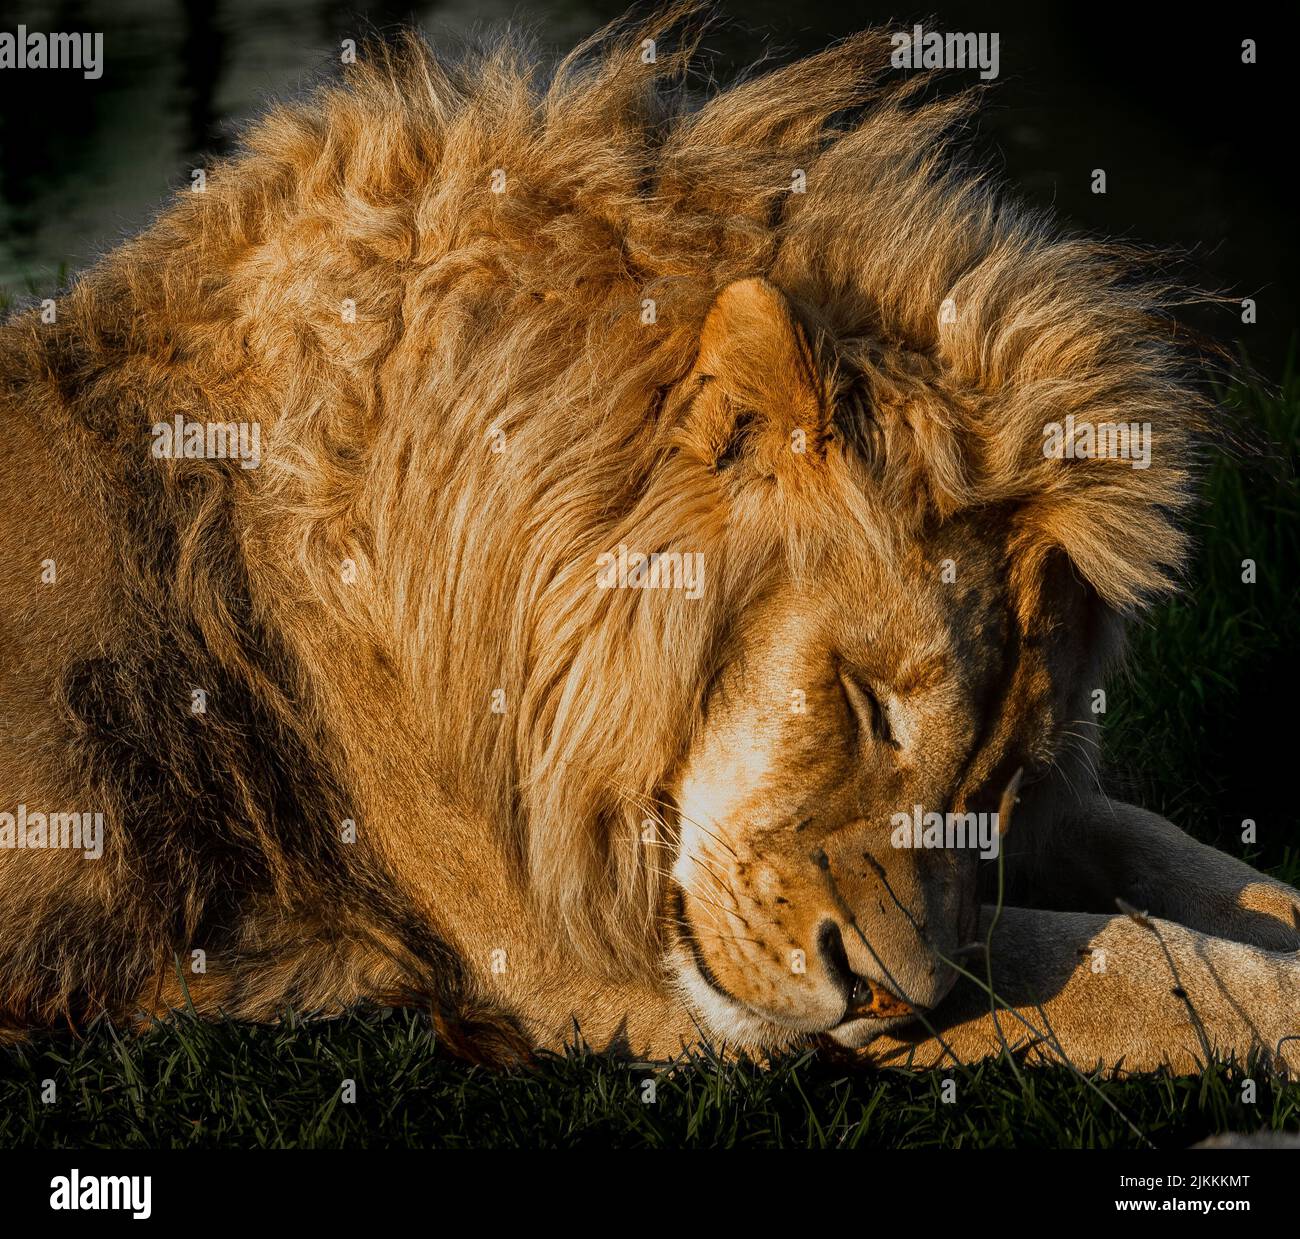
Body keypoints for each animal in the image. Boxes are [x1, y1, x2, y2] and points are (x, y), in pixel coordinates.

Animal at [0, 6, 1297, 1075]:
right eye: (863, 703)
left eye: (1003, 778)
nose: (895, 1001)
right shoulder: (574, 956)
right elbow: (1125, 965)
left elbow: (1182, 863)